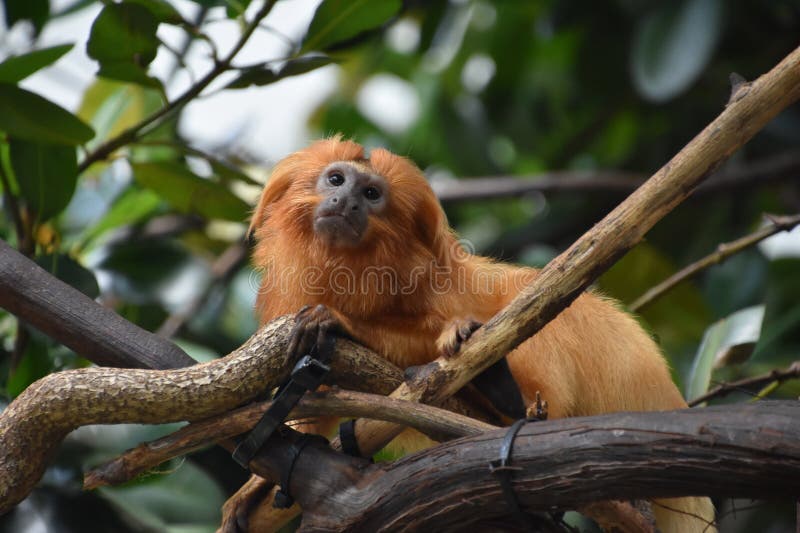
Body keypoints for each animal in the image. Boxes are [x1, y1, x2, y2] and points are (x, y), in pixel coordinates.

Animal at [227, 137, 715, 533]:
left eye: (370, 194)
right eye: (335, 179)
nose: (346, 202)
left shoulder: (440, 284)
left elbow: (433, 341)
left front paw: (337, 321)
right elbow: (317, 392)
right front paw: (257, 481)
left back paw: (506, 396)